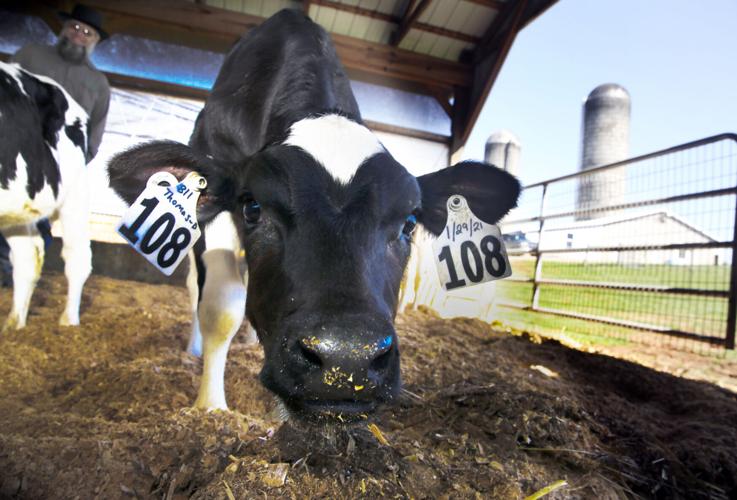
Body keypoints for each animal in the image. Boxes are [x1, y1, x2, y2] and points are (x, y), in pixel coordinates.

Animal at [0, 61, 91, 331]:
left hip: (75, 193)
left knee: (77, 257)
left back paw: (69, 323)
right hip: (18, 207)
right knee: (27, 255)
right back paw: (14, 325)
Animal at [108, 9, 520, 422]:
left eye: (409, 222)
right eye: (252, 207)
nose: (347, 360)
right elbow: (220, 308)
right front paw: (210, 406)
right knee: (197, 285)